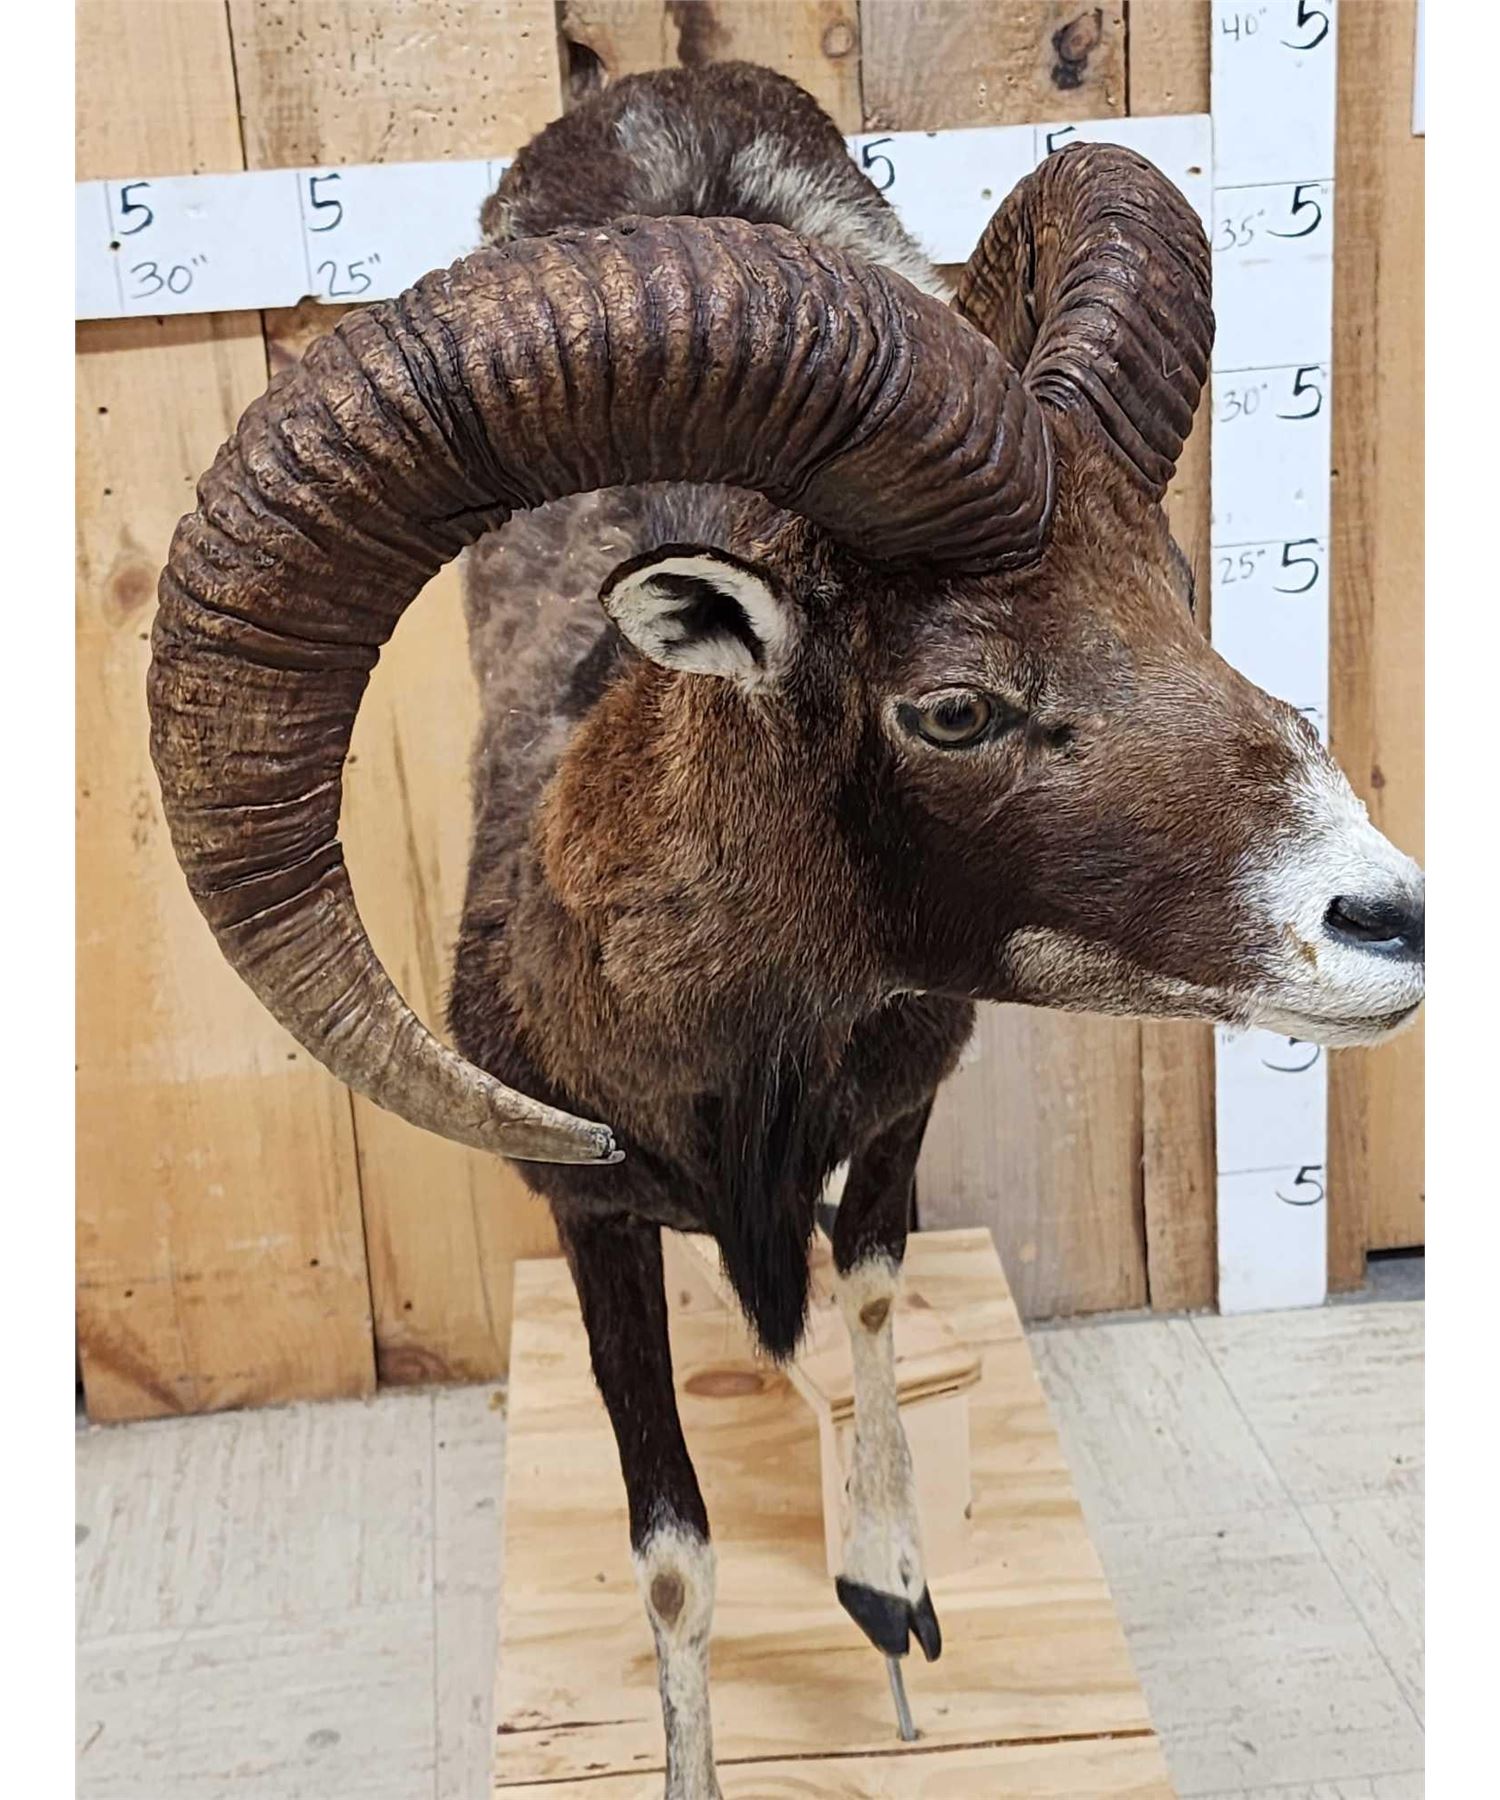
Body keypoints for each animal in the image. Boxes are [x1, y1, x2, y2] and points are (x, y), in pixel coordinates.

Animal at [148, 63, 1424, 1799]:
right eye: (954, 705)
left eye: (1175, 597)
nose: (1389, 920)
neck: (733, 1072)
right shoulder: (593, 1223)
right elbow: (673, 1563)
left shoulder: (894, 1120)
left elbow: (873, 1298)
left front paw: (892, 1612)